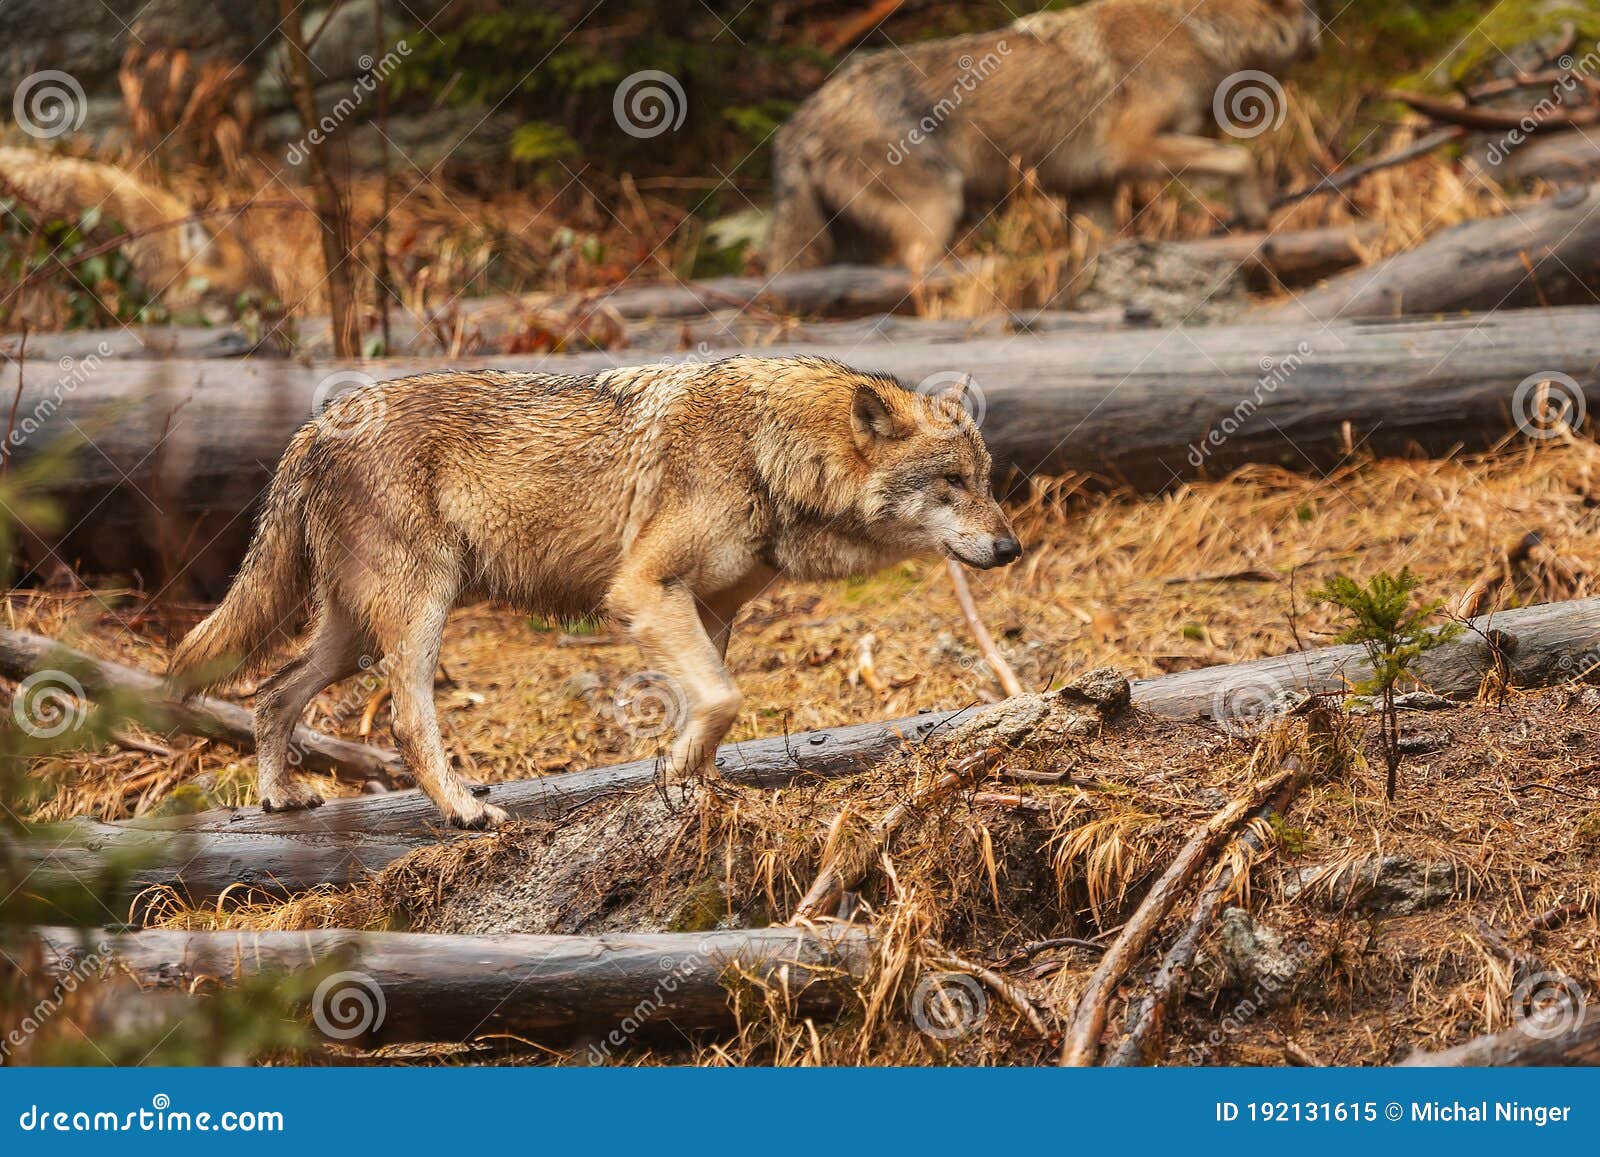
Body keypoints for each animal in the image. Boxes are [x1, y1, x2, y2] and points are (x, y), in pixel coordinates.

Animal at [167, 356, 1022, 829]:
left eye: (986, 481)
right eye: (953, 482)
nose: (1012, 548)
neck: (768, 450)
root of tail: (317, 424)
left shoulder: (710, 610)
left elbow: (706, 707)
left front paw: (685, 783)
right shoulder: (640, 590)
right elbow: (725, 698)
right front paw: (678, 776)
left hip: (353, 635)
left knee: (273, 691)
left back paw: (279, 796)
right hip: (417, 617)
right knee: (407, 721)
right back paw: (463, 809)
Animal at [768, 0, 1321, 272]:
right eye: (1311, 10)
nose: (1321, 31)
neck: (1198, 28)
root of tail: (800, 121)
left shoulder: (1094, 187)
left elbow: (1097, 246)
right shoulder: (1134, 147)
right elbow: (1240, 159)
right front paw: (1255, 212)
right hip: (939, 208)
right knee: (918, 268)